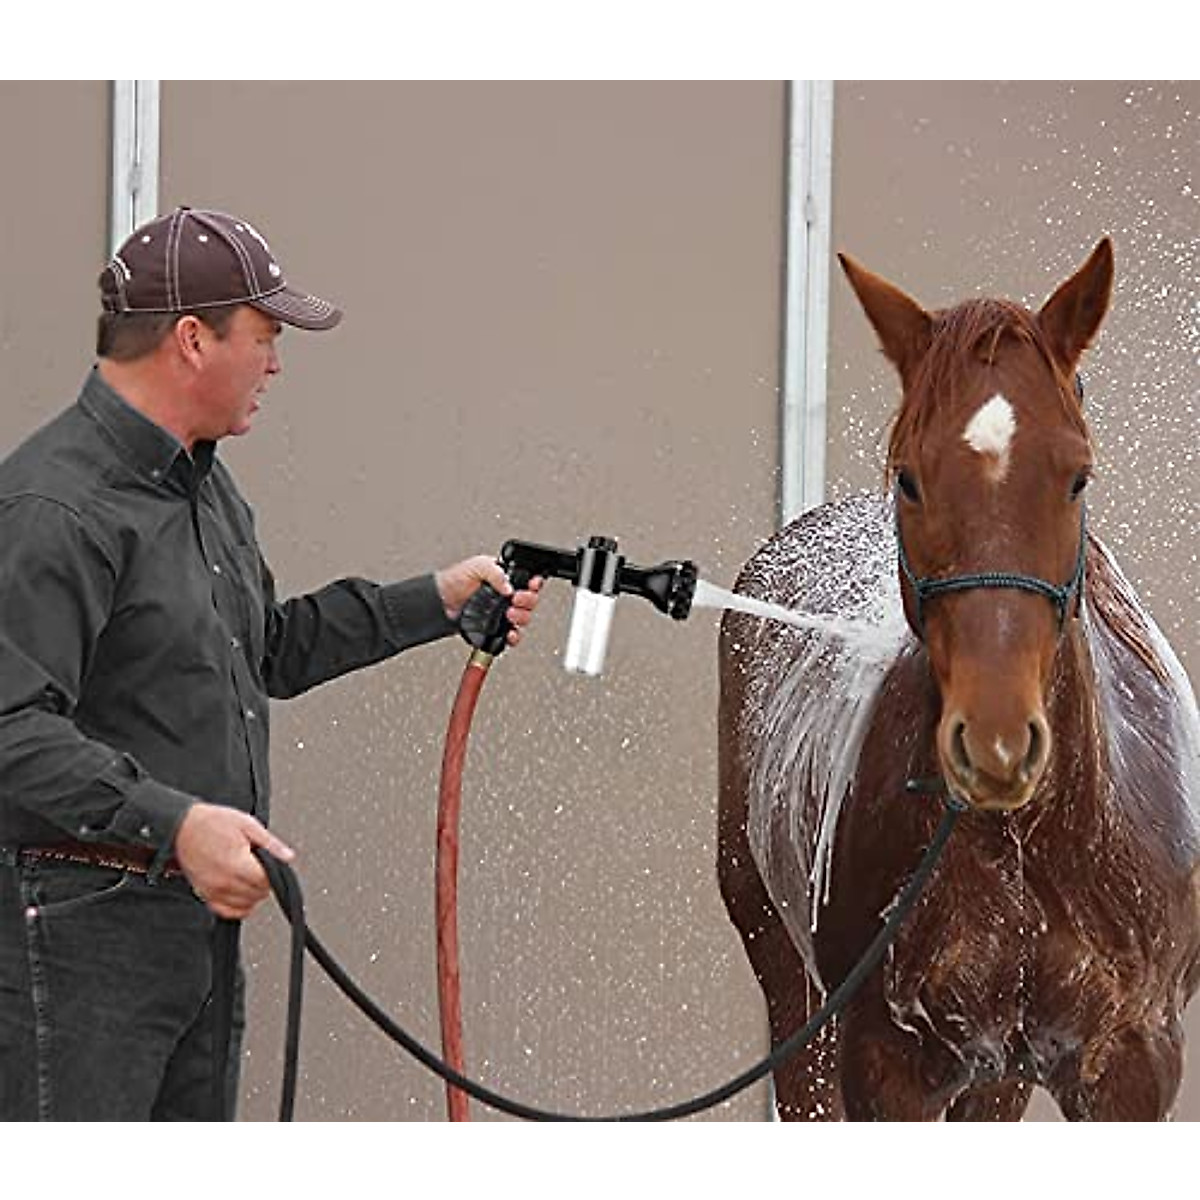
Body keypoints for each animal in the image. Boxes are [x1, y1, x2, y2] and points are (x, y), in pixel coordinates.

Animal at [717, 240, 1200, 1120]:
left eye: (1078, 475)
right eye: (910, 476)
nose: (998, 744)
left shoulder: (1132, 1067)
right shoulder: (884, 1064)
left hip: (997, 1073)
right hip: (790, 990)